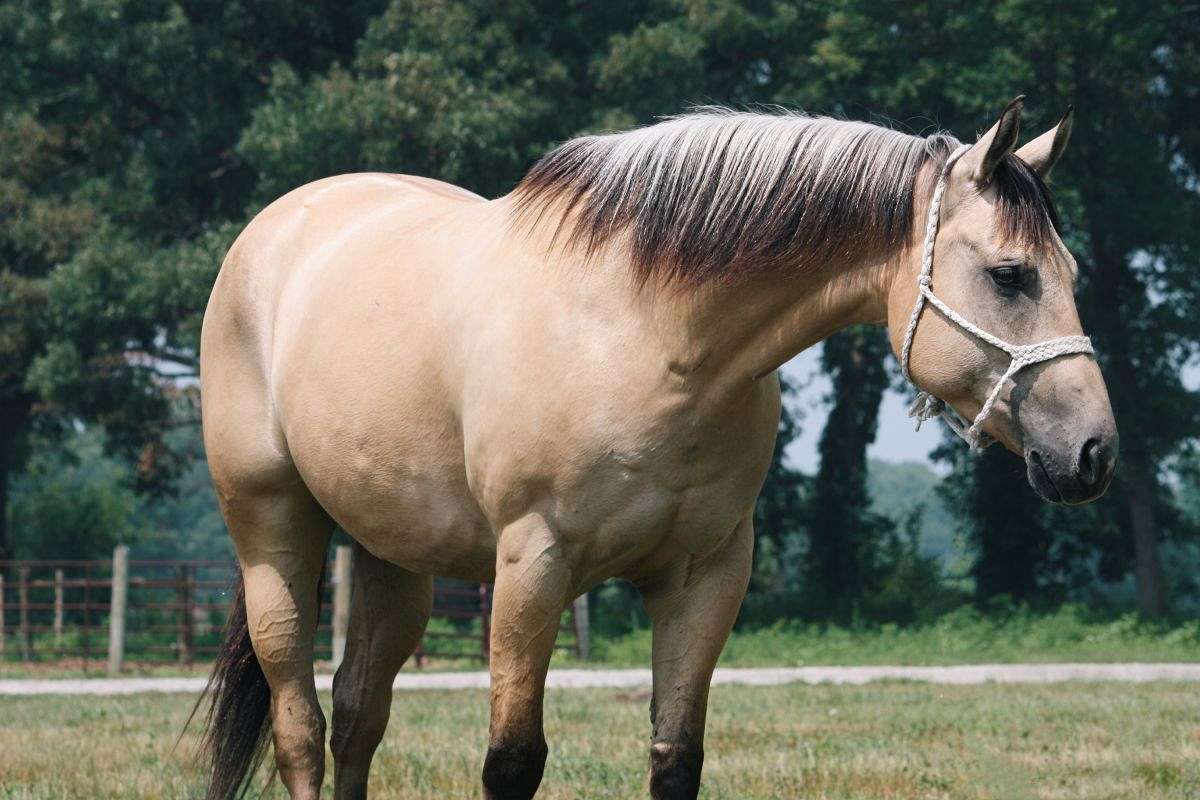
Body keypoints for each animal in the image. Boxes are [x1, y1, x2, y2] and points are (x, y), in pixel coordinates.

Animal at [195, 97, 1116, 799]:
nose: (1093, 453)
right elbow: (512, 762)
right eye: (1009, 275)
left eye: (1071, 273)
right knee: (302, 727)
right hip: (273, 536)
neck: (650, 339)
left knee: (358, 717)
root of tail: (275, 231)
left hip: (393, 557)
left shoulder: (705, 574)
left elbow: (677, 759)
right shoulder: (532, 565)